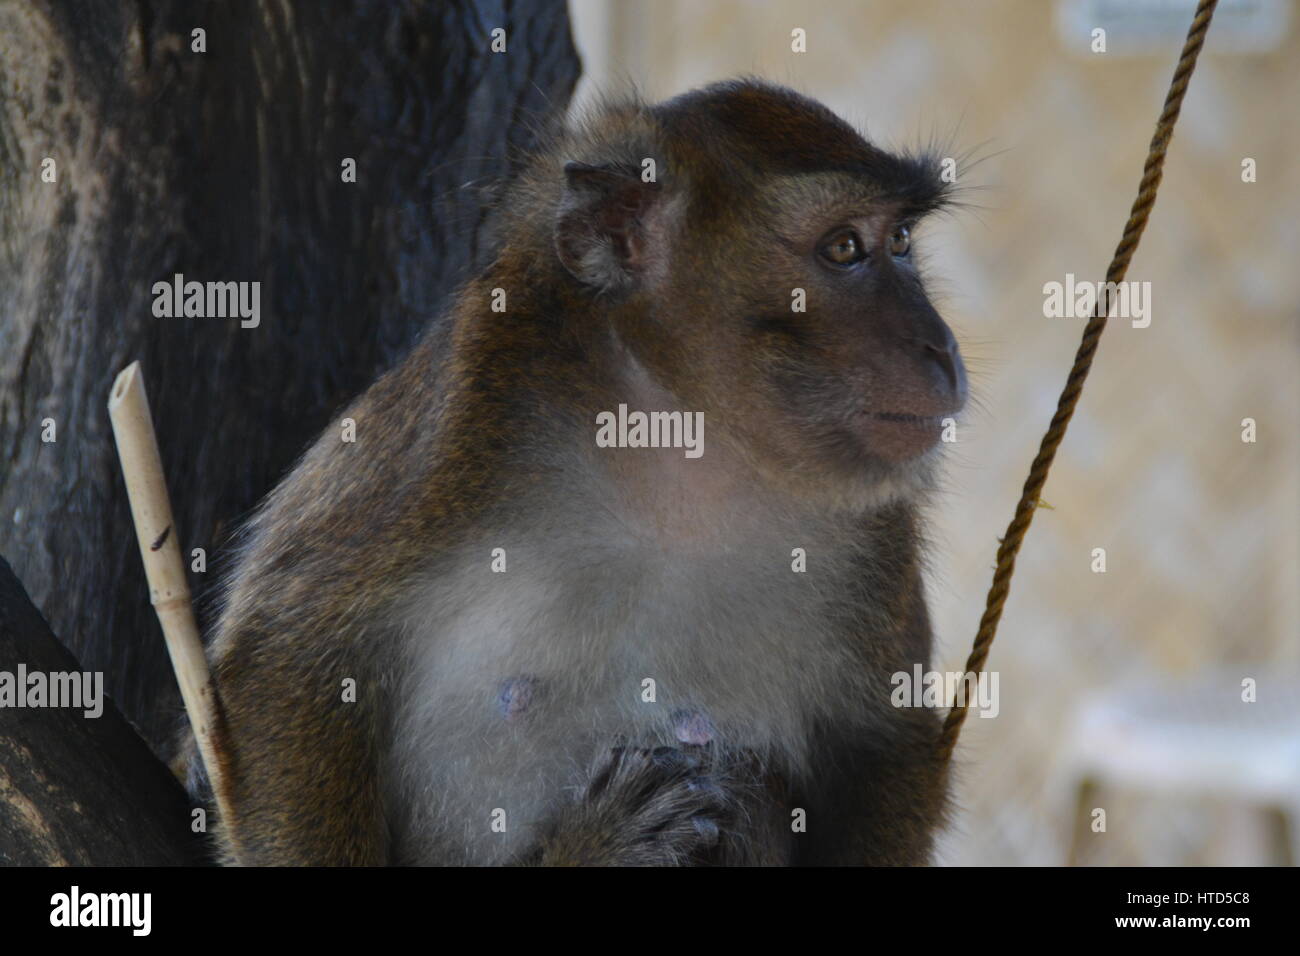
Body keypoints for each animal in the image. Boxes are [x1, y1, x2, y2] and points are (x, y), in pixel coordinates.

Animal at [184, 78, 968, 866]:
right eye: (844, 248)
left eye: (900, 241)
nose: (941, 347)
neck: (680, 450)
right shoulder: (461, 423)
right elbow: (291, 649)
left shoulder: (870, 530)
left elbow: (882, 739)